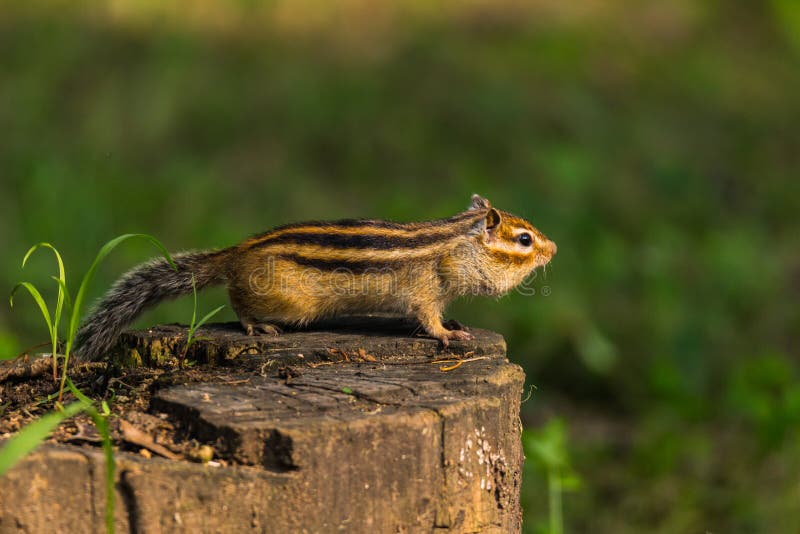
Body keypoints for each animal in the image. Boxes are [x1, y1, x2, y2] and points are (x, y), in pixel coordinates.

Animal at [75, 195, 557, 361]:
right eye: (525, 240)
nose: (553, 249)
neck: (454, 243)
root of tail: (236, 253)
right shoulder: (423, 288)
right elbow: (426, 317)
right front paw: (447, 335)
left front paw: (456, 323)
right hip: (287, 301)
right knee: (237, 302)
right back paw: (257, 326)